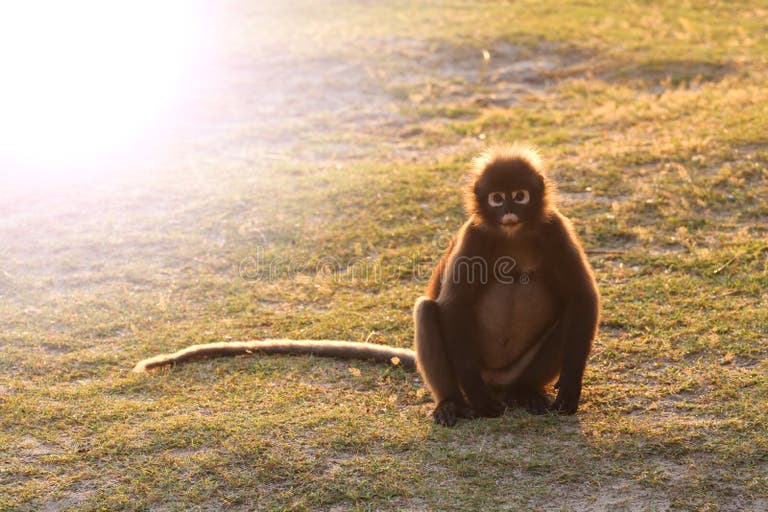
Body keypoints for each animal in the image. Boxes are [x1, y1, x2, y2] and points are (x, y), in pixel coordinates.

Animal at [132, 144, 599, 427]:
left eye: (520, 195)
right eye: (497, 198)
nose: (508, 213)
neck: (513, 235)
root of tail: (499, 378)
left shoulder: (554, 228)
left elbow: (582, 297)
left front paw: (570, 389)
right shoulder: (475, 236)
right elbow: (451, 308)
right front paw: (478, 403)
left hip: (524, 365)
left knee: (565, 317)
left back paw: (526, 392)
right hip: (473, 365)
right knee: (428, 311)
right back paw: (454, 400)